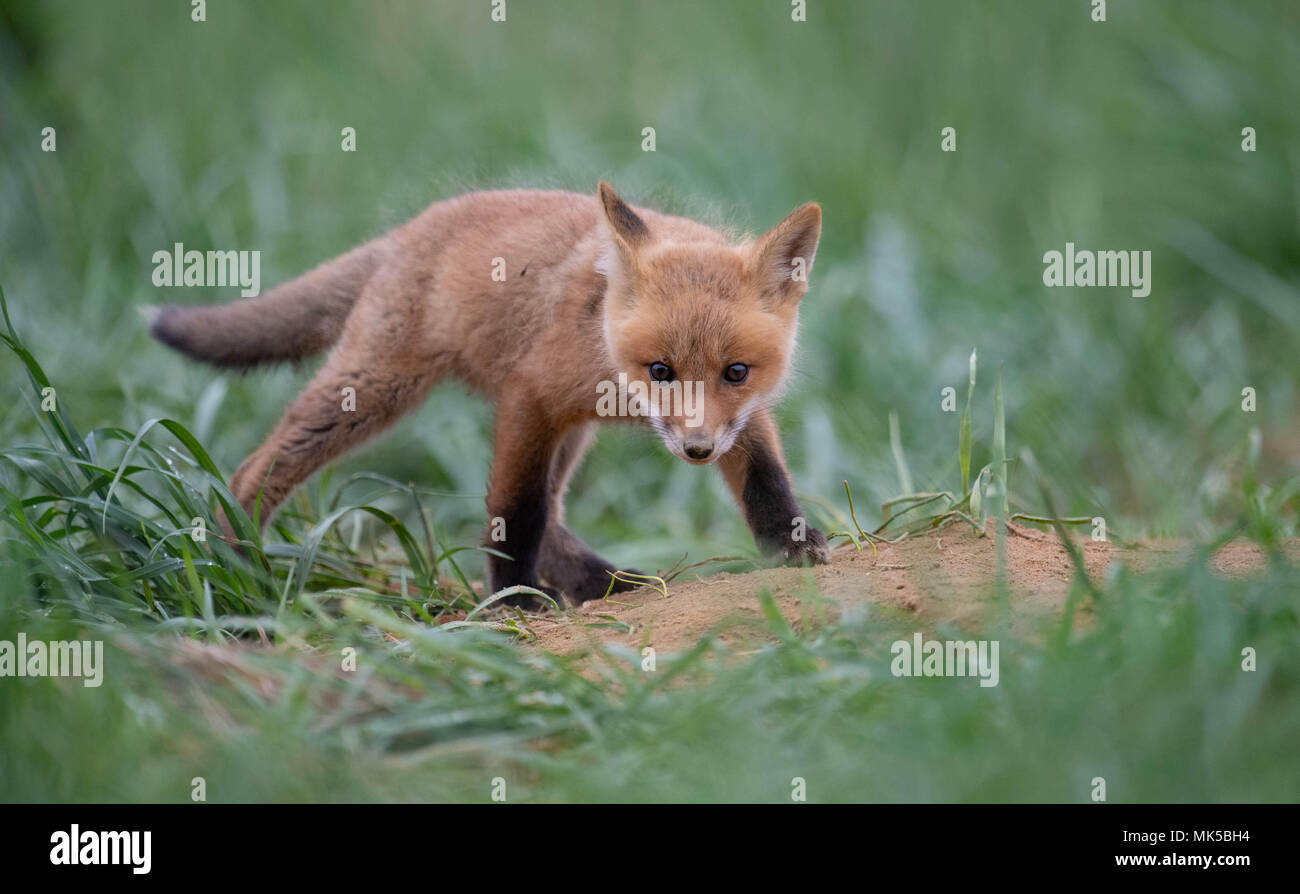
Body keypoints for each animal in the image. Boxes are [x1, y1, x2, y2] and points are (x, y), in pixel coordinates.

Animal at [149, 182, 831, 607]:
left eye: (736, 372)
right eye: (660, 370)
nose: (695, 452)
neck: (605, 352)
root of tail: (410, 229)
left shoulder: (739, 416)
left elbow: (765, 479)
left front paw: (792, 546)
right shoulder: (530, 397)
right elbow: (515, 511)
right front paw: (514, 602)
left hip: (570, 433)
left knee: (555, 514)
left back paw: (604, 582)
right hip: (371, 390)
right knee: (252, 470)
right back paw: (240, 571)